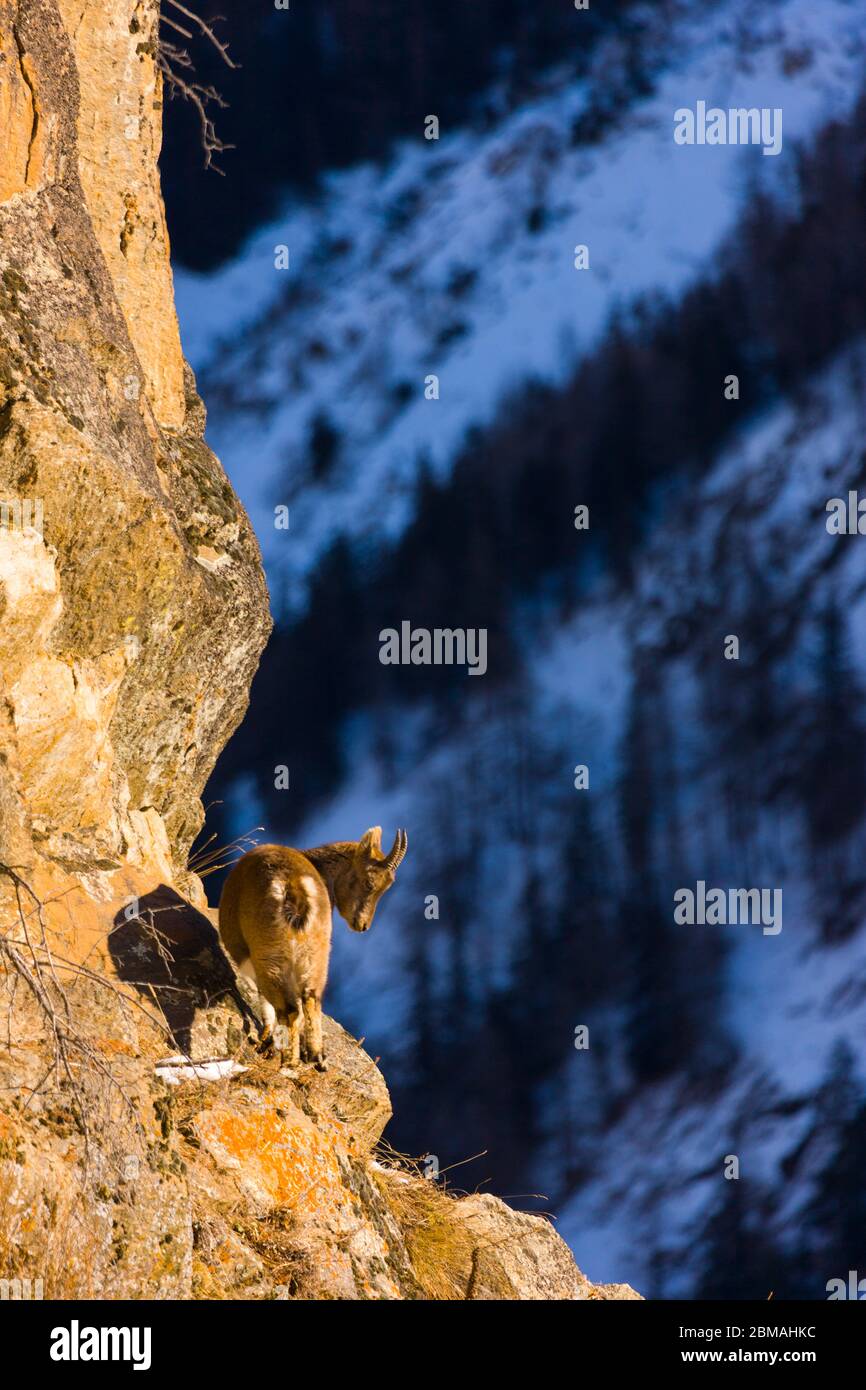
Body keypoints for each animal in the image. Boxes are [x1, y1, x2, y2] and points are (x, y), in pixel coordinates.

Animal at [218, 827, 407, 1070]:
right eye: (369, 884)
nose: (363, 925)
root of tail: (294, 887)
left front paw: (266, 1040)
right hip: (317, 954)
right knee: (311, 996)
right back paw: (316, 1057)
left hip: (270, 953)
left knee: (289, 1006)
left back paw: (290, 1061)